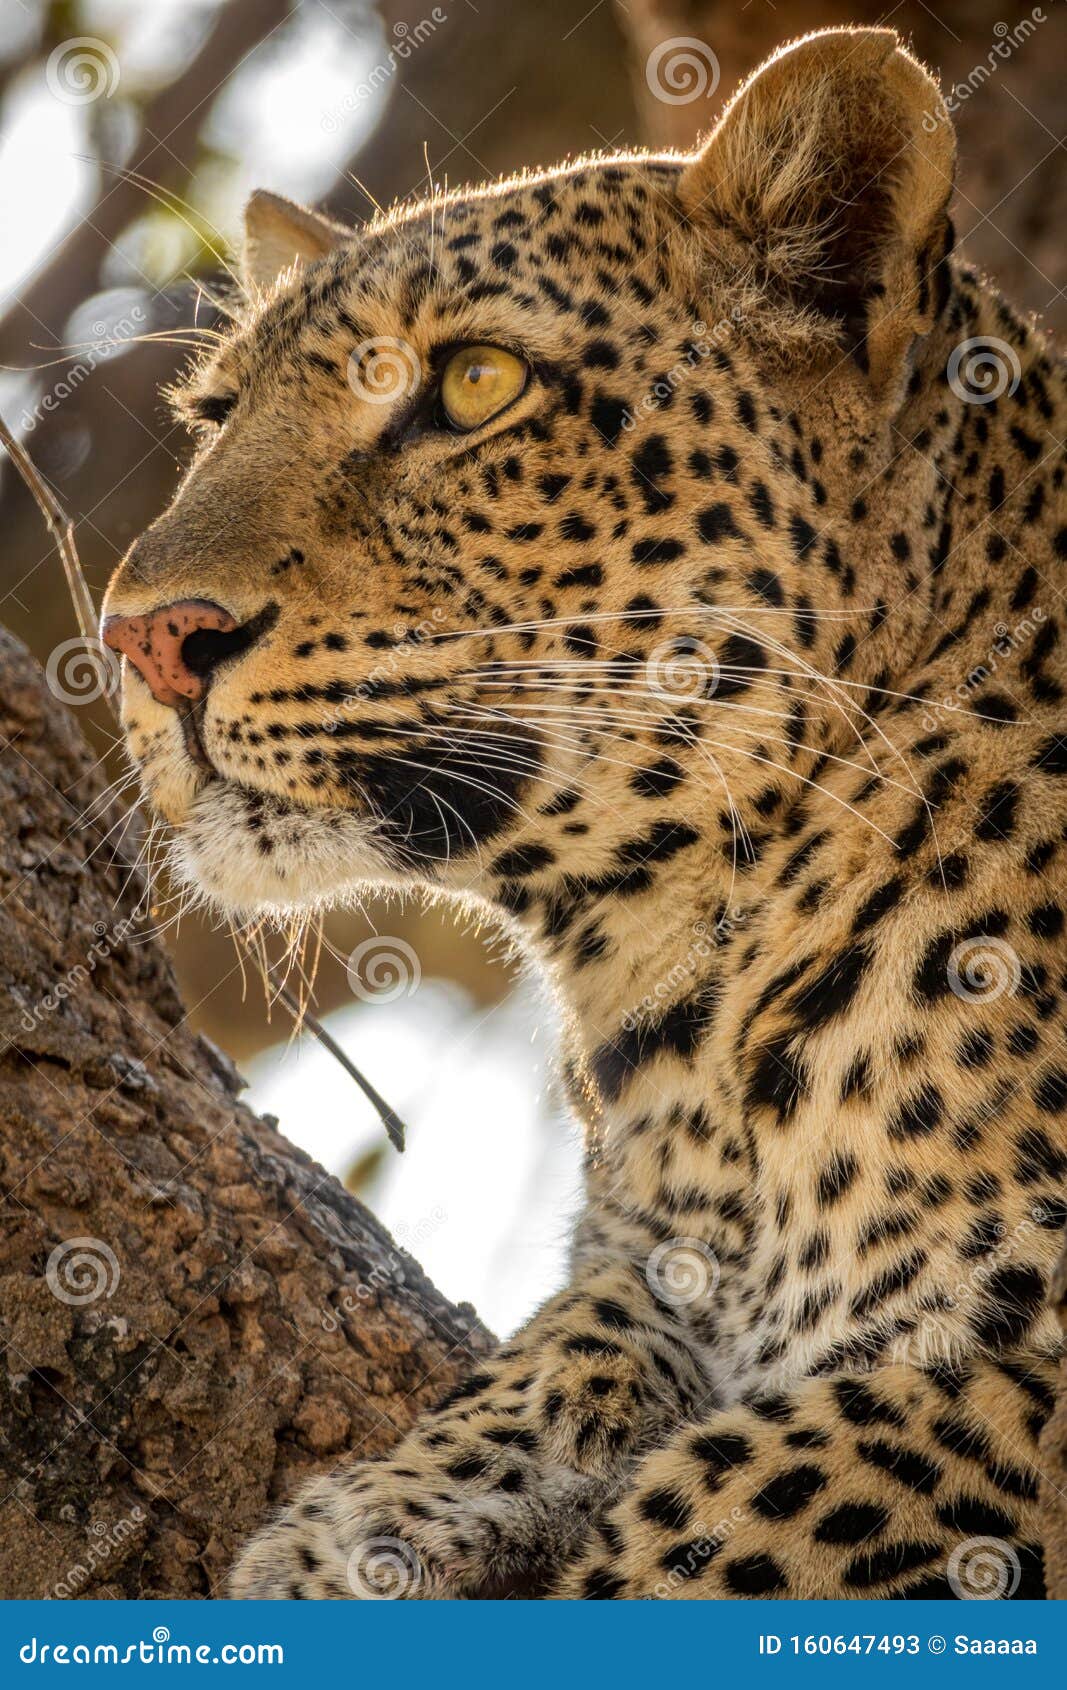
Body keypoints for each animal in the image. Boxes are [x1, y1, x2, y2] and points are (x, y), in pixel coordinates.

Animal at [100, 27, 1067, 1601]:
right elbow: (585, 1331)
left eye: (474, 383)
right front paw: (363, 1529)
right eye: (216, 415)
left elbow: (814, 1463)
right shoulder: (651, 1249)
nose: (143, 639)